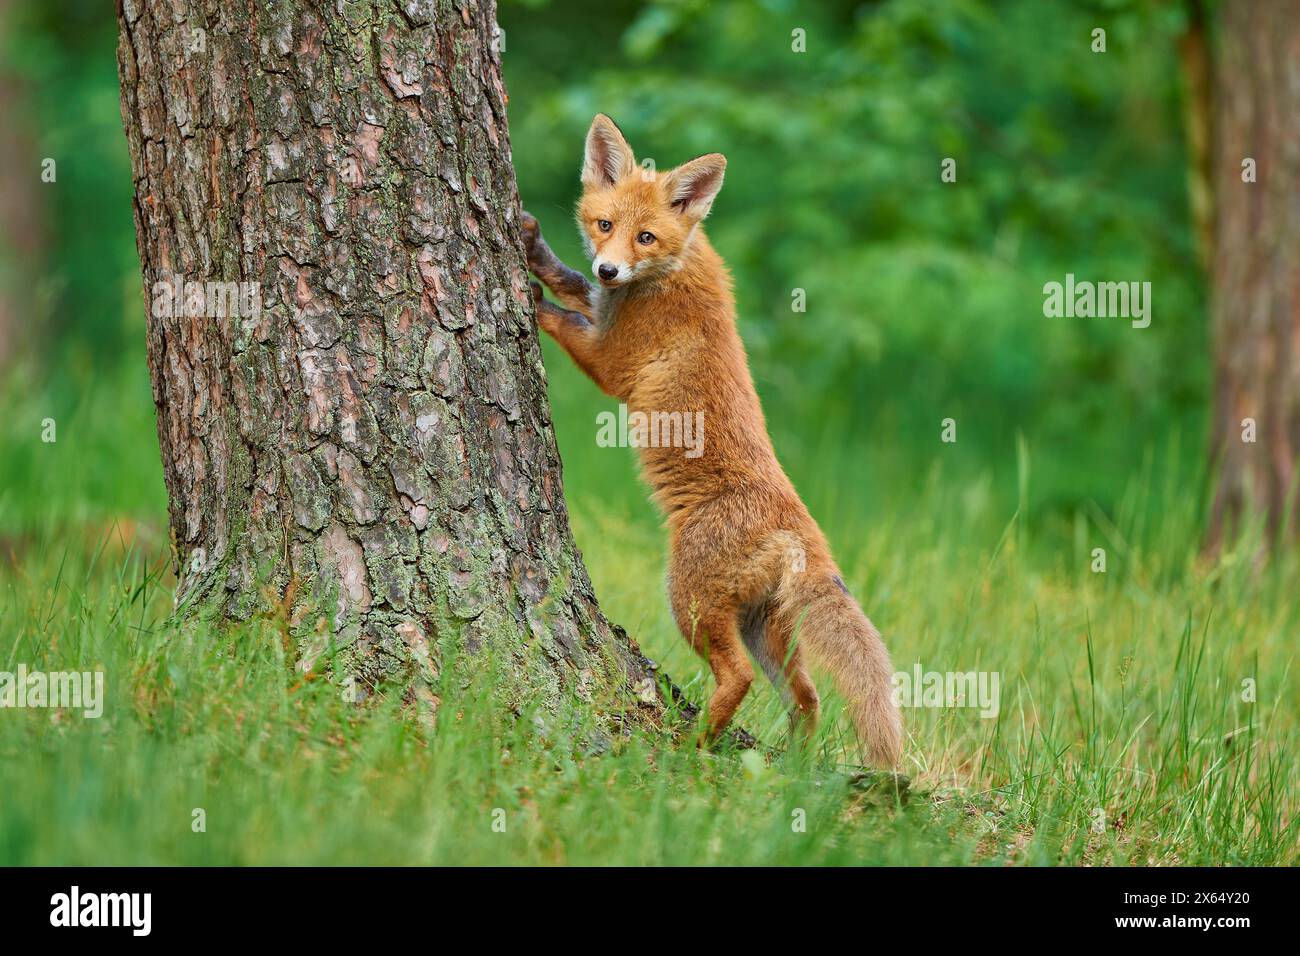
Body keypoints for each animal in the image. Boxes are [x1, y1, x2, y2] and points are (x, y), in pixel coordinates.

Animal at [520, 114, 902, 767]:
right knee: (806, 696)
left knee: (738, 679)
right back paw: (791, 769)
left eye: (646, 237)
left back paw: (694, 748)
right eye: (605, 226)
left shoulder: (609, 361)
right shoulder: (598, 306)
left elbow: (560, 315)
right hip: (763, 627)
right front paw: (532, 245)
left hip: (691, 602)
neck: (670, 271)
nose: (609, 270)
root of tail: (798, 534)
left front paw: (525, 290)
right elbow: (569, 282)